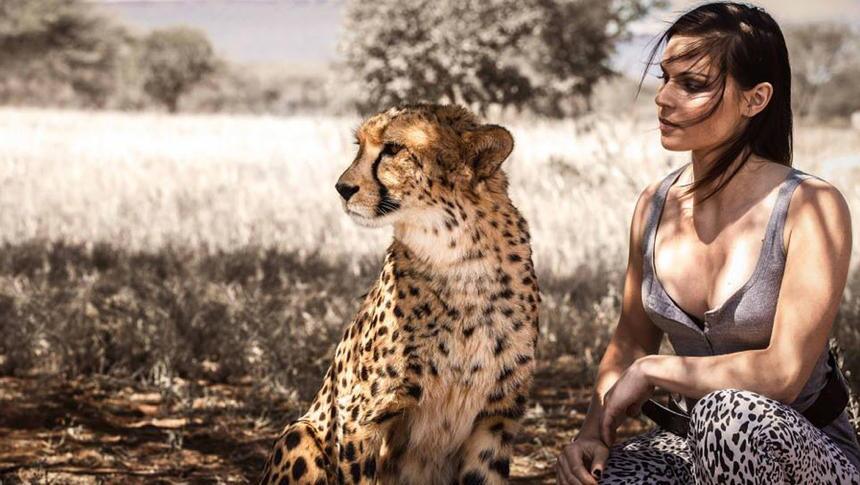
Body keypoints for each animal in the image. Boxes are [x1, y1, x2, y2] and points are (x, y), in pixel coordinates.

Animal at [259, 103, 540, 485]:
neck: (460, 260)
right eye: (359, 145)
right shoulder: (358, 416)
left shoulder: (495, 417)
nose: (342, 188)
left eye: (392, 148)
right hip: (300, 433)